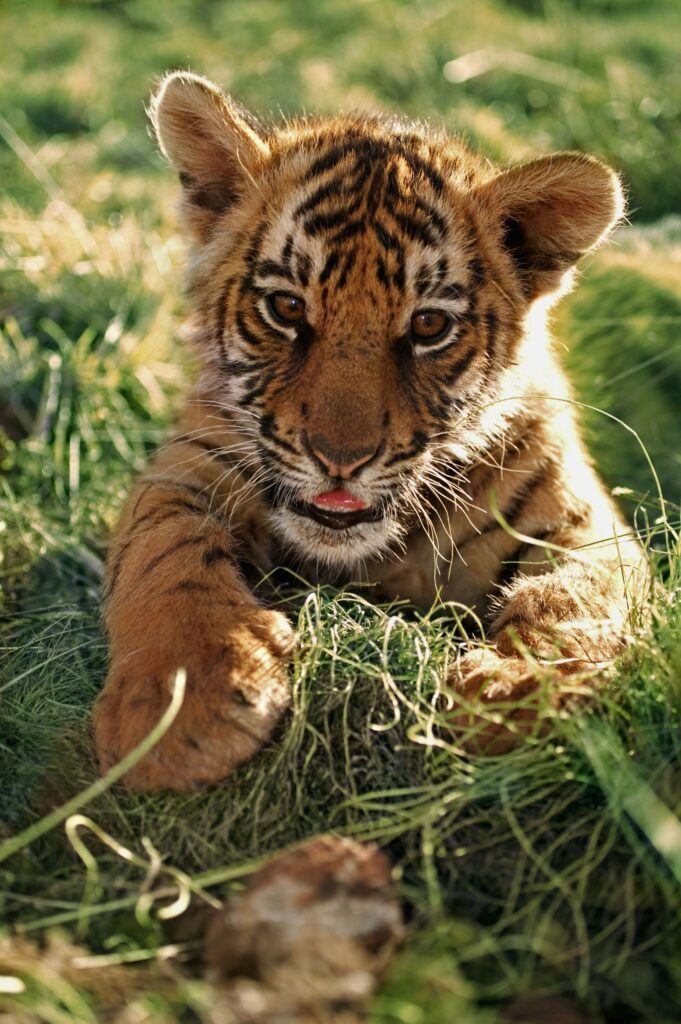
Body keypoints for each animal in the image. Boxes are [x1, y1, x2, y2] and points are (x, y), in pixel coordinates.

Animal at [94, 71, 648, 791]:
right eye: (286, 307)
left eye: (428, 326)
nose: (339, 459)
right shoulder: (185, 467)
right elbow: (166, 552)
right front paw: (181, 704)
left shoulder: (585, 519)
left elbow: (577, 595)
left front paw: (514, 691)